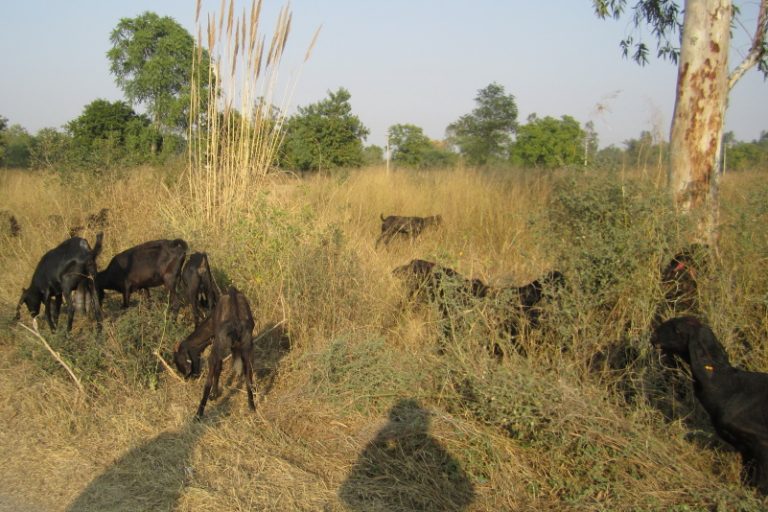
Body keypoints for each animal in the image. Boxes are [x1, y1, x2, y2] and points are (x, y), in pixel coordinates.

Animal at [174, 286, 256, 418]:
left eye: (178, 361)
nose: (188, 377)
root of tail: (236, 323)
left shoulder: (217, 349)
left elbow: (217, 370)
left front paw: (214, 394)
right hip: (247, 348)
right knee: (249, 377)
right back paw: (252, 407)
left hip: (217, 350)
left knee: (208, 380)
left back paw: (199, 413)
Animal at [652, 316, 768, 494]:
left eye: (677, 329)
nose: (653, 337)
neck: (726, 388)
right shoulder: (746, 451)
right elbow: (747, 480)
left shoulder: (761, 443)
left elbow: (761, 485)